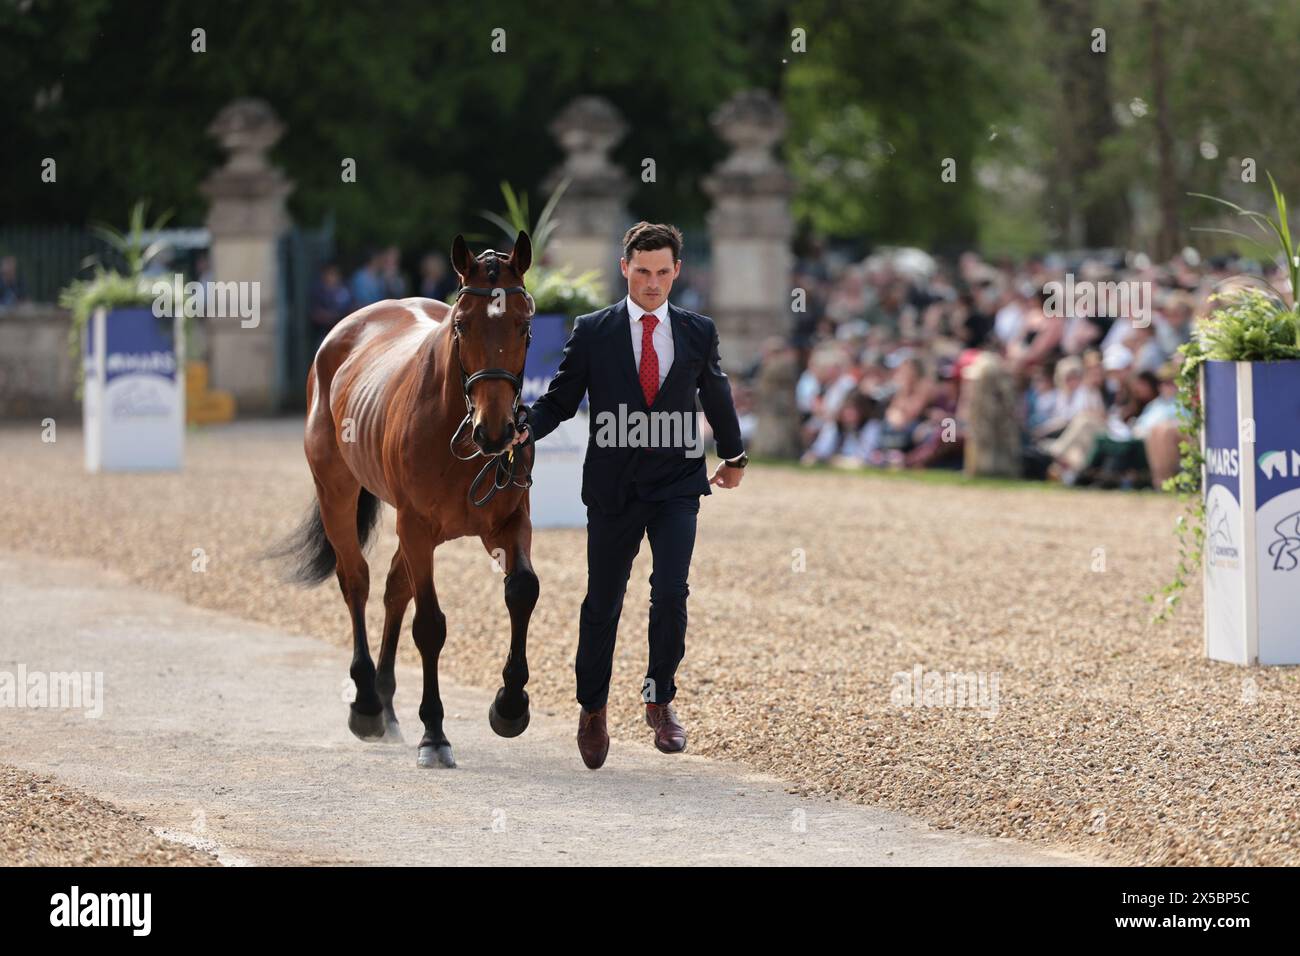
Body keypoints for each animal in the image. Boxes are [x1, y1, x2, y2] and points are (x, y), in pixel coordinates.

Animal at [273, 232, 539, 769]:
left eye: (524, 324)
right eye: (462, 324)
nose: (496, 431)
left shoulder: (508, 523)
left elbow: (522, 590)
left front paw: (510, 705)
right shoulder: (417, 527)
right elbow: (430, 626)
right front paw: (434, 734)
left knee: (395, 588)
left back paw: (387, 703)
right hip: (336, 492)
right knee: (356, 581)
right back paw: (367, 705)